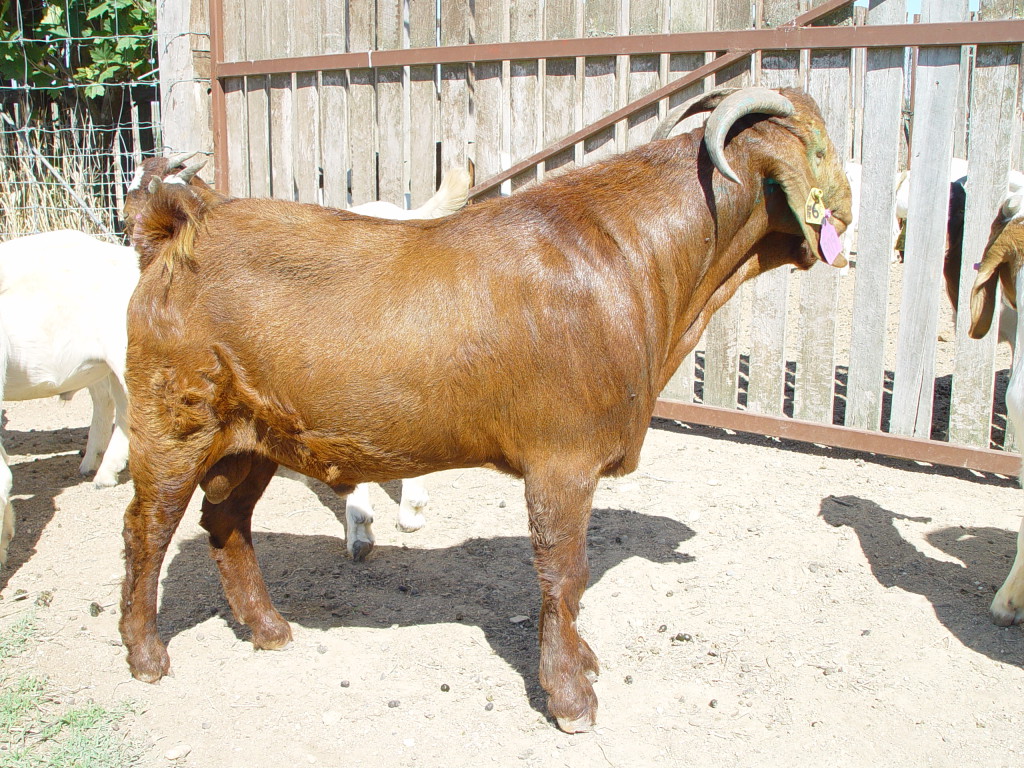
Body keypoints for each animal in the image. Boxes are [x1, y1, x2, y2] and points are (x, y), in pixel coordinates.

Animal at [118, 86, 851, 732]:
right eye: (819, 147)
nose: (849, 212)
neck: (628, 254)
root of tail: (175, 233)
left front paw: (583, 665)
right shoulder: (562, 457)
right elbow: (563, 573)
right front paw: (571, 698)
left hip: (253, 438)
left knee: (226, 520)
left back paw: (268, 628)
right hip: (173, 426)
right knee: (148, 529)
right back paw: (146, 655)